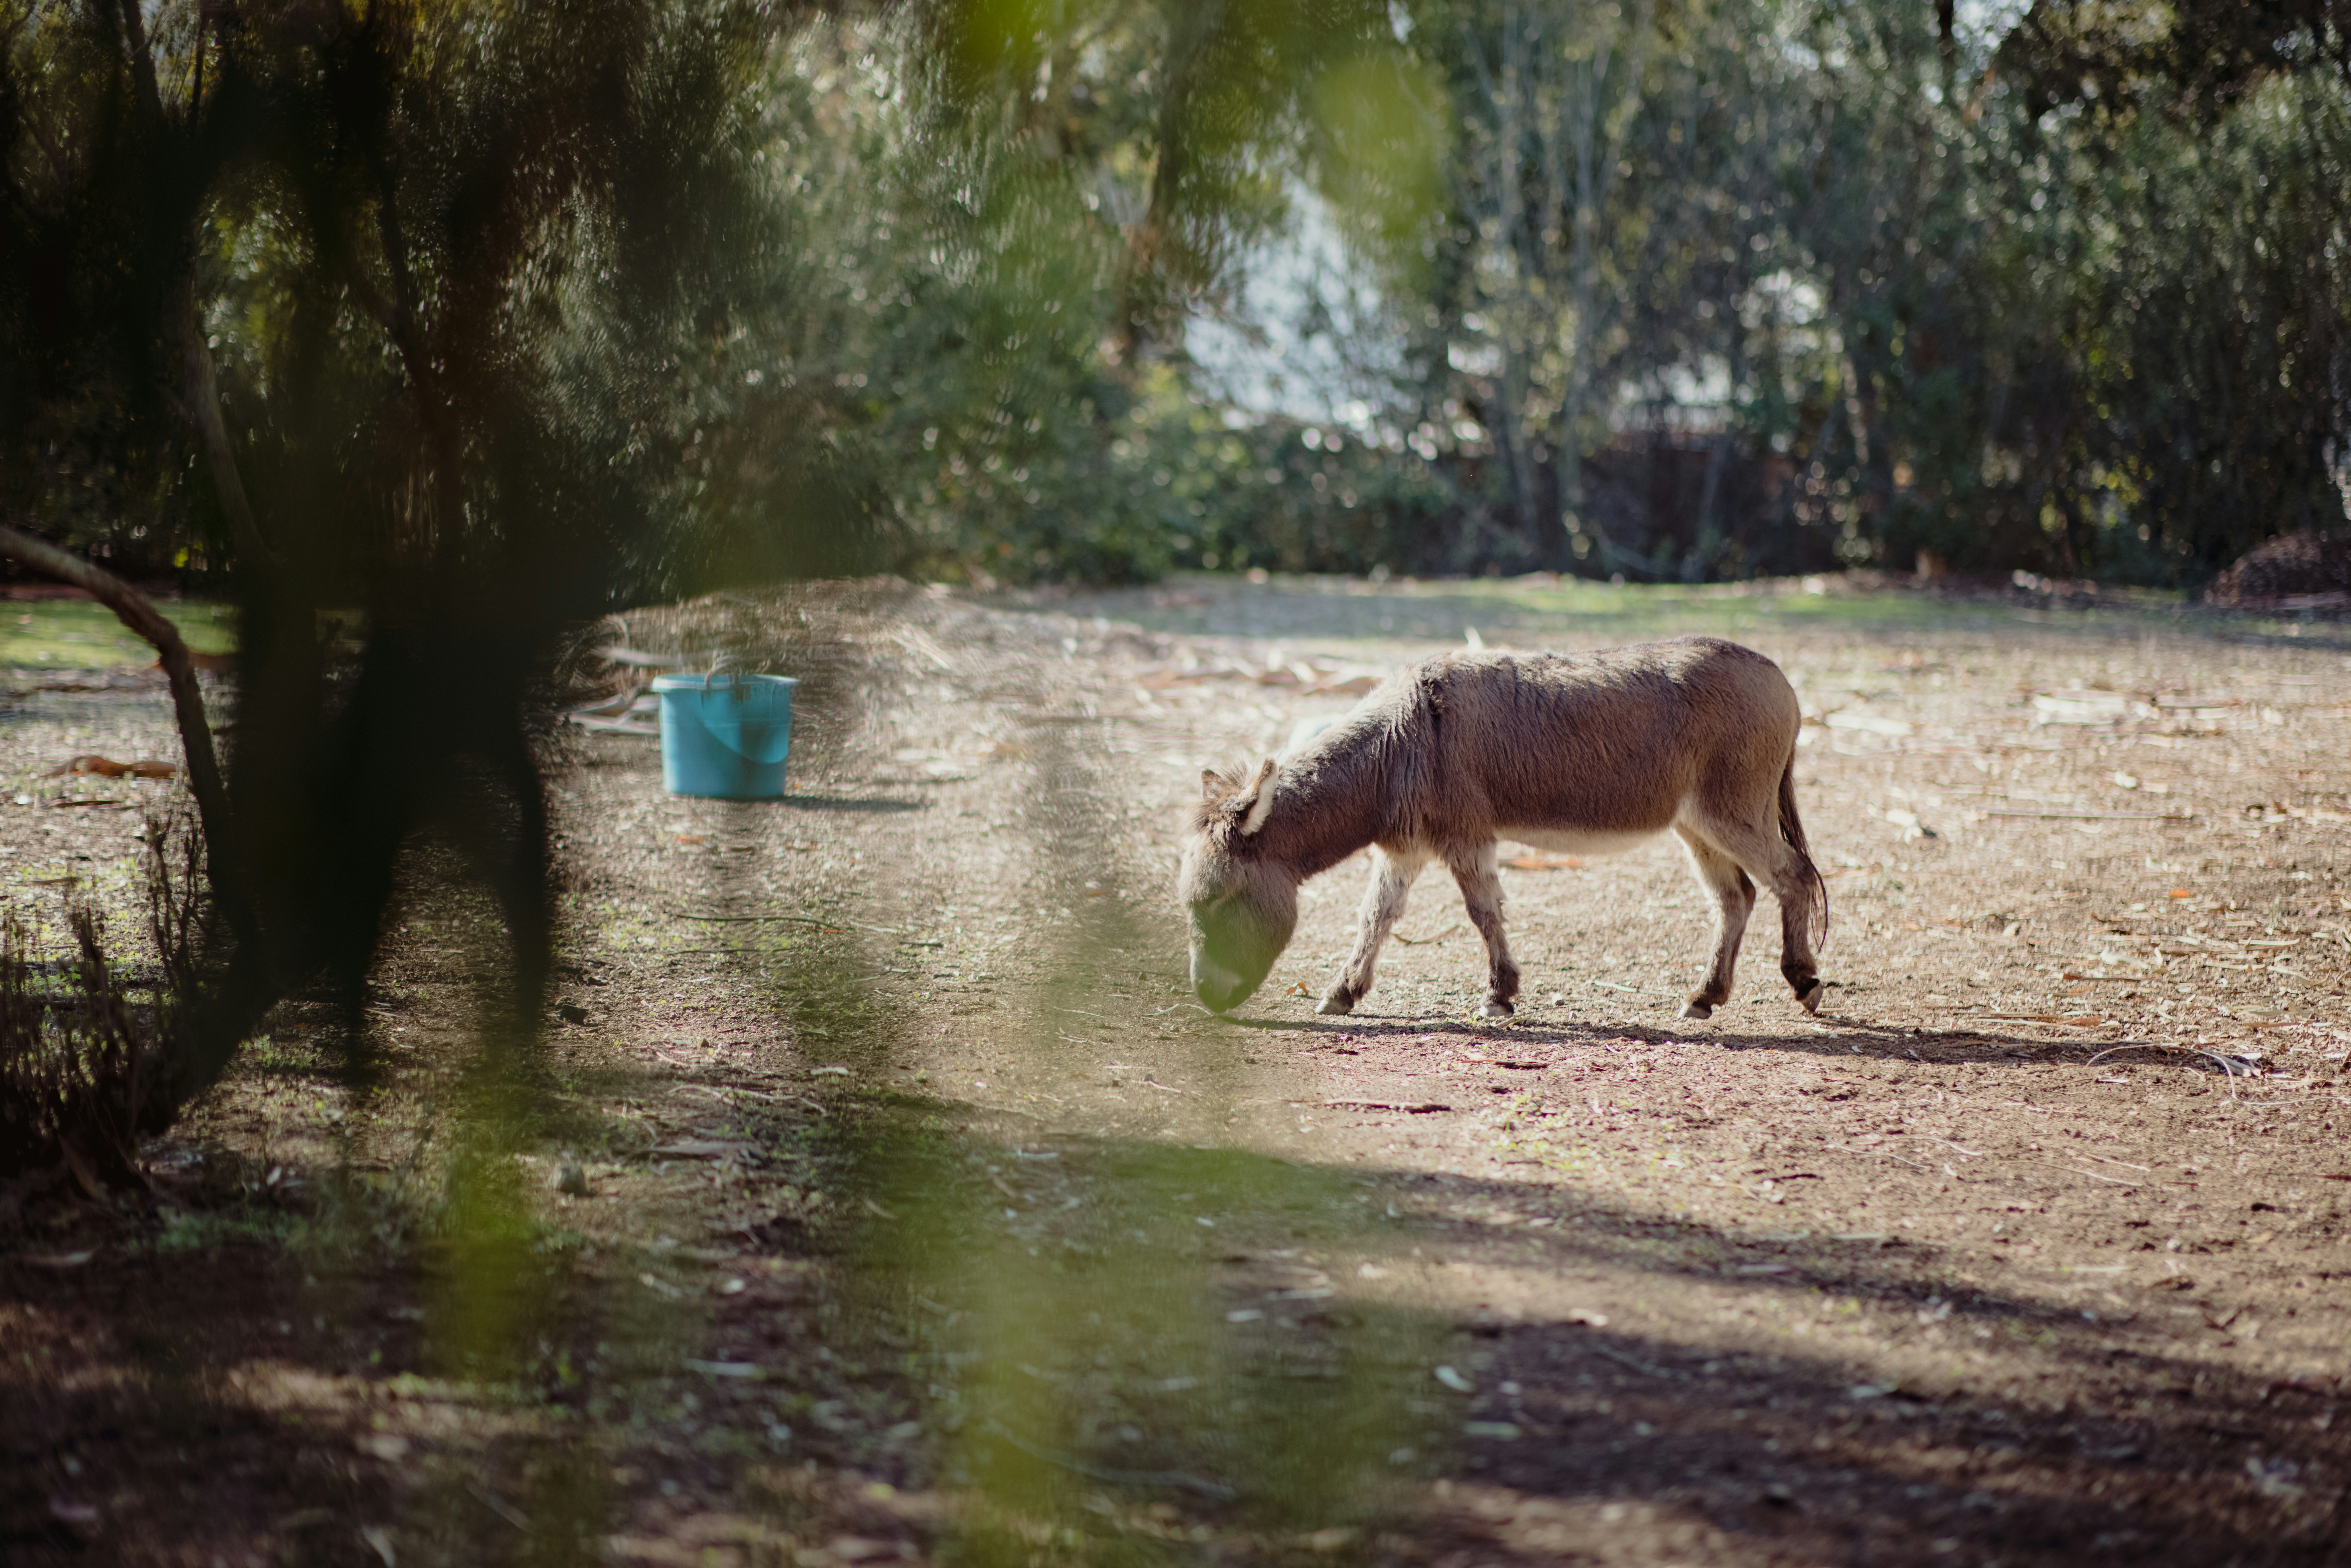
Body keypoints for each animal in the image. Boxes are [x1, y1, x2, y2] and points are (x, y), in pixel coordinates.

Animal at [1177, 636, 1827, 1022]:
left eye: (1216, 900)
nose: (1206, 999)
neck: (1396, 744)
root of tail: (1781, 677)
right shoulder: (1406, 847)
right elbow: (1376, 916)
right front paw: (1344, 991)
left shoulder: (1464, 835)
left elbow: (1483, 911)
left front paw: (1499, 994)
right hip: (1696, 824)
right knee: (1736, 896)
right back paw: (1704, 996)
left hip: (1729, 811)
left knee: (1791, 875)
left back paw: (1803, 980)